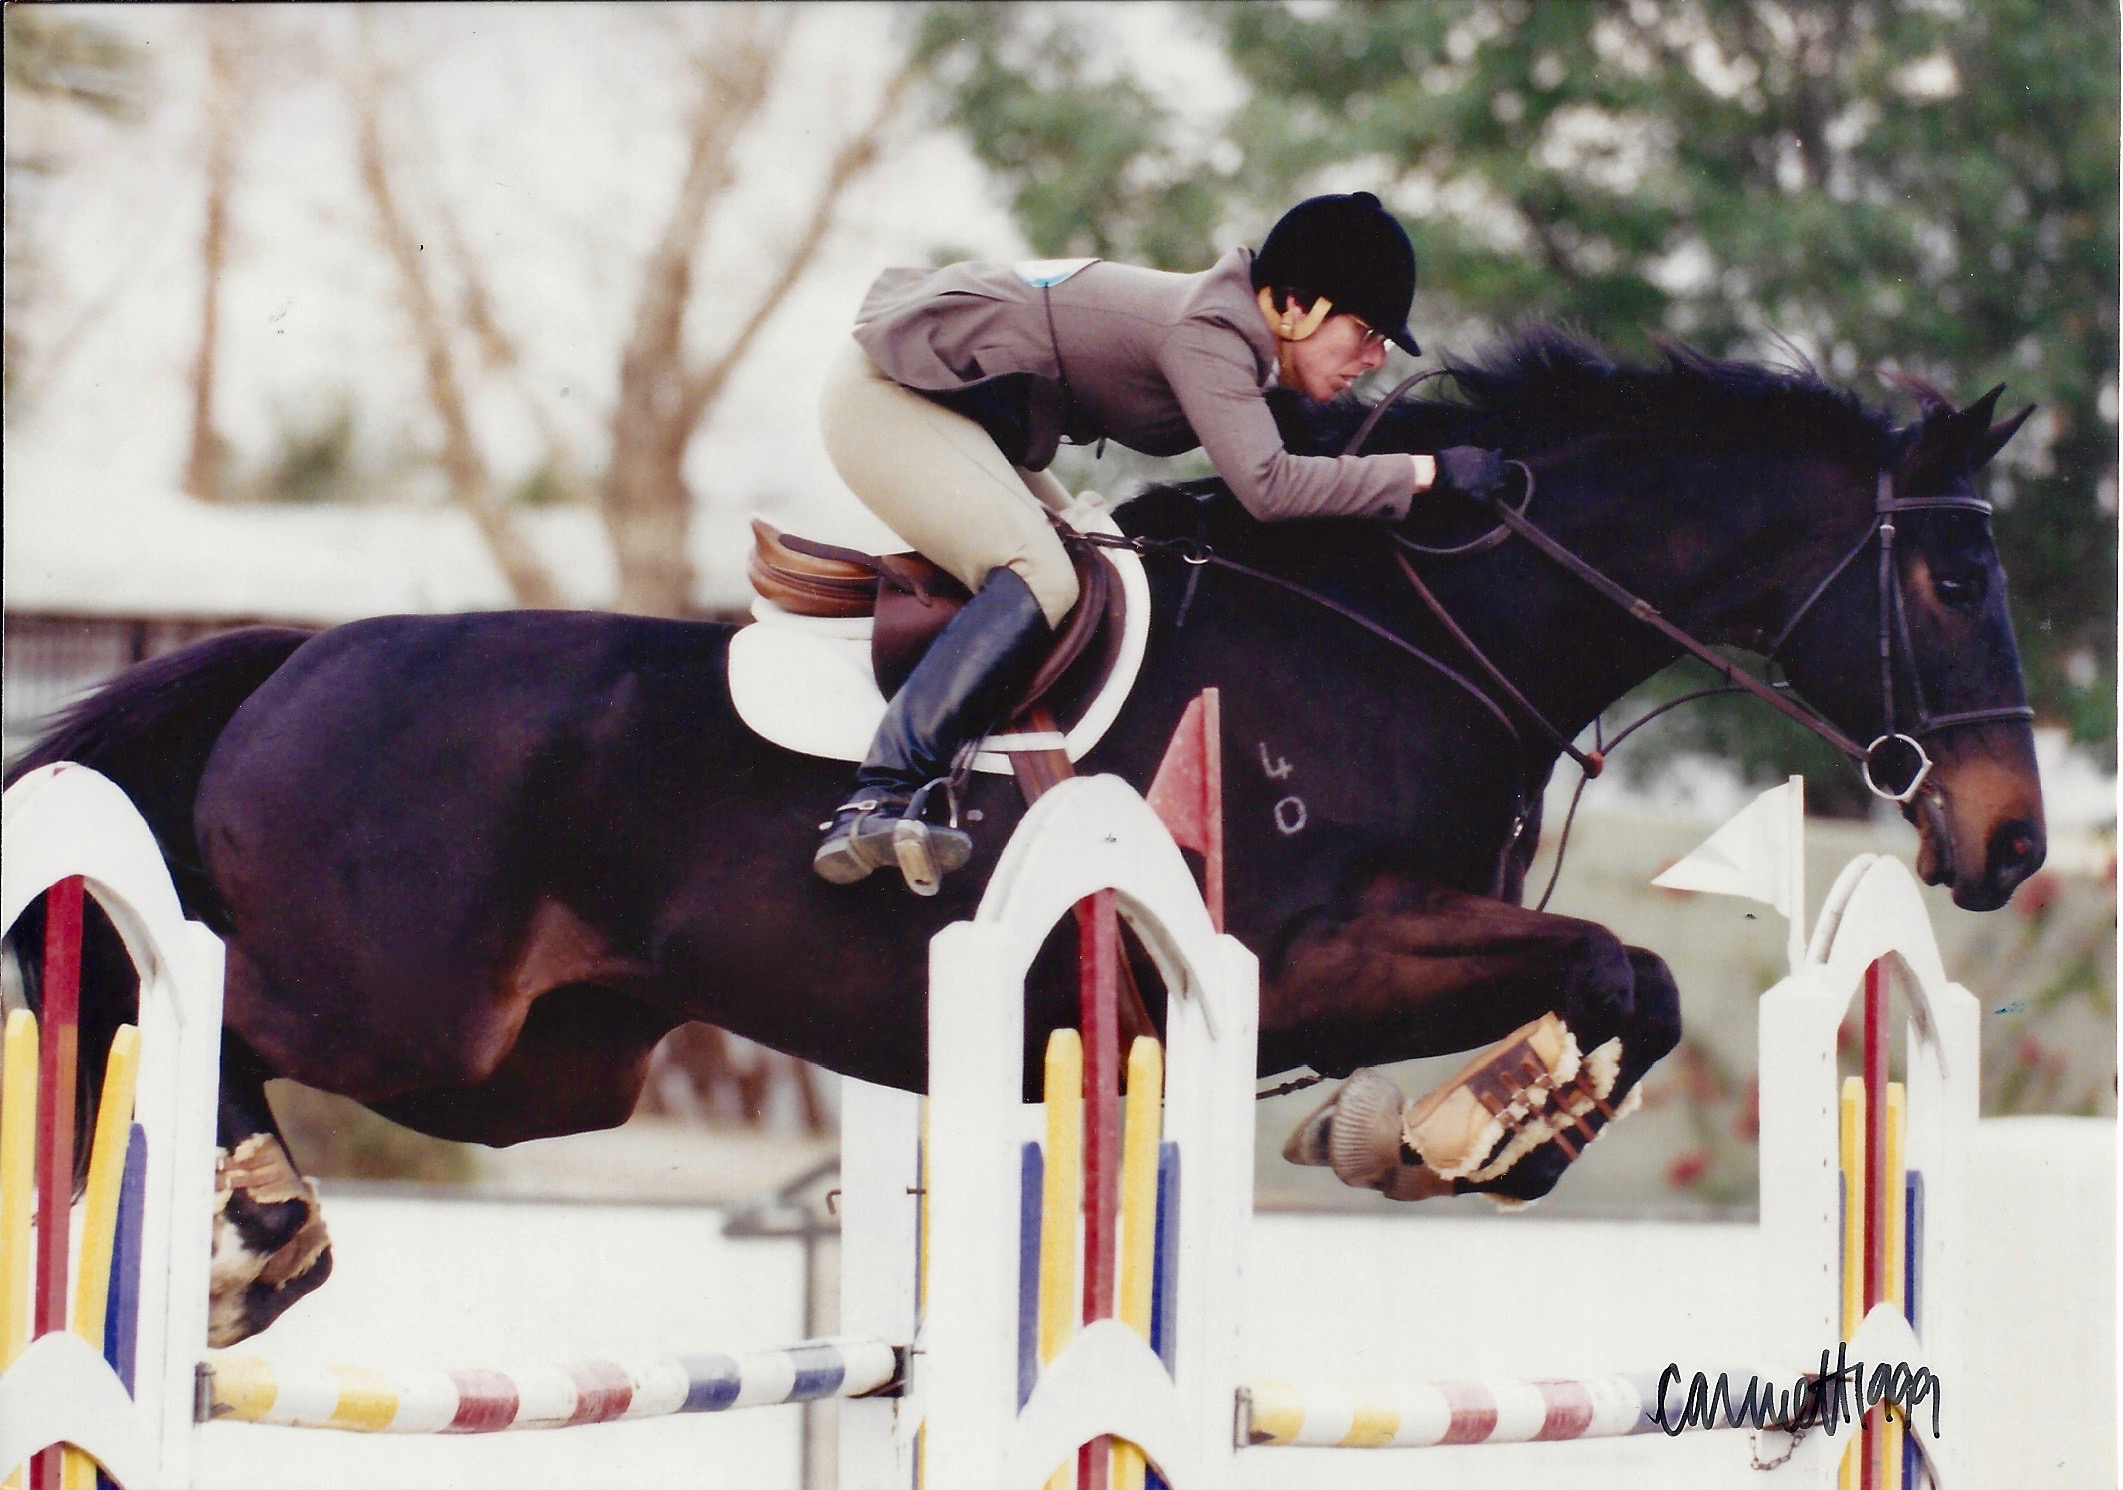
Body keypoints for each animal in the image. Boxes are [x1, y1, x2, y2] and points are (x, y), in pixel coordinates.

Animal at [6, 327, 2044, 1345]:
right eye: (1950, 577)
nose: (2013, 846)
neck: (1403, 632)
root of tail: (295, 655)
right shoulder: (1308, 951)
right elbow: (1616, 965)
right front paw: (1457, 1127)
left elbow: (1624, 987)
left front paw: (1438, 1132)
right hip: (404, 1012)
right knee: (160, 998)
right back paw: (258, 1240)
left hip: (541, 1068)